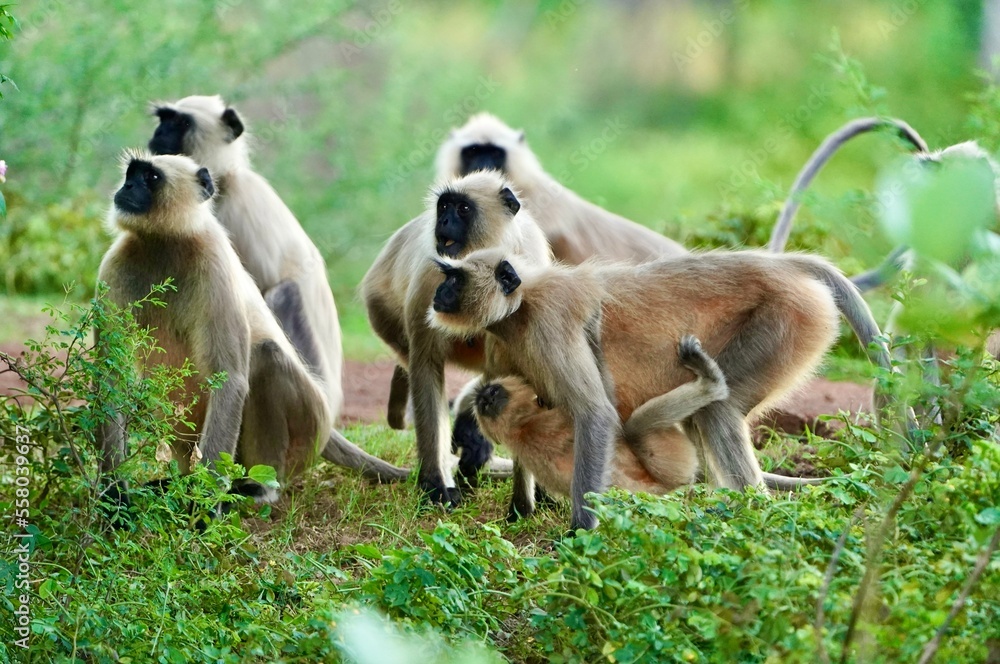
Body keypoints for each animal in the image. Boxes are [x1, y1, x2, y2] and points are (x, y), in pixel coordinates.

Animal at [97, 151, 407, 510]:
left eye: (151, 178)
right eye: (131, 175)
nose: (127, 188)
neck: (163, 243)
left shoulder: (214, 263)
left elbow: (229, 379)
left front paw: (203, 505)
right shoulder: (114, 267)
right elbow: (111, 378)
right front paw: (112, 492)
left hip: (308, 428)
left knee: (266, 358)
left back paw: (260, 487)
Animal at [146, 95, 377, 474]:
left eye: (179, 123)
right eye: (163, 120)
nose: (158, 135)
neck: (228, 179)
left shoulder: (221, 222)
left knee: (282, 296)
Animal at [361, 171, 552, 504]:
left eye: (462, 209)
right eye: (444, 206)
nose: (444, 221)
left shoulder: (532, 262)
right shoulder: (431, 275)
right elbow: (426, 366)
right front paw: (434, 484)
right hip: (383, 314)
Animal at [473, 337, 823, 501]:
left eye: (491, 393)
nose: (486, 396)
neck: (522, 429)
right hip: (672, 464)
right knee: (636, 426)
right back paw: (711, 381)